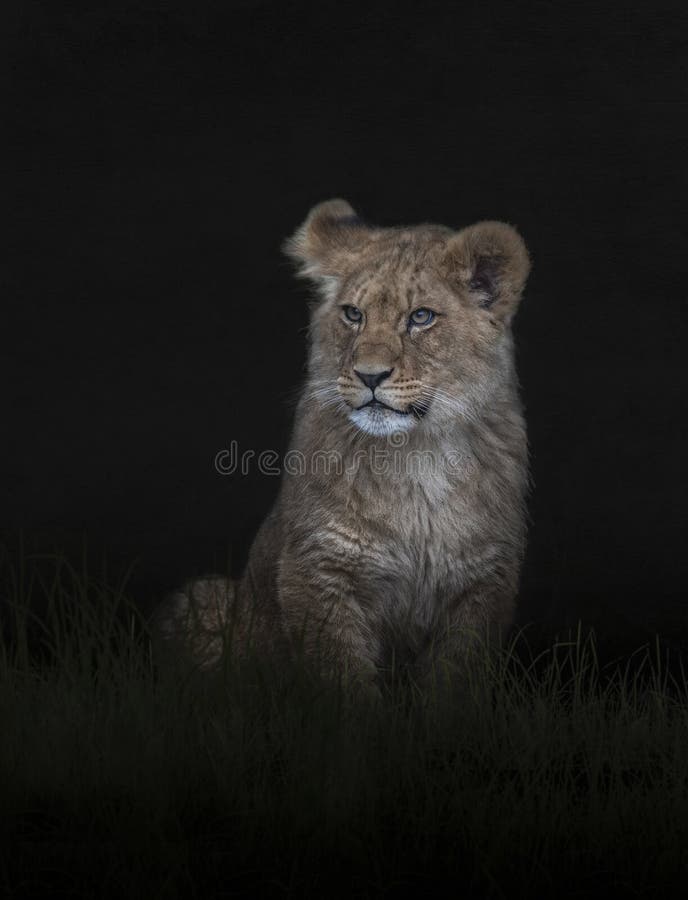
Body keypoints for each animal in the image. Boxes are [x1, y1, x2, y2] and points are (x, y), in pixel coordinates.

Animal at [152, 199, 531, 693]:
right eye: (353, 314)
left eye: (421, 317)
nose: (370, 375)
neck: (414, 456)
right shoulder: (319, 571)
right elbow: (342, 679)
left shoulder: (483, 581)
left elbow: (451, 680)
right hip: (203, 601)